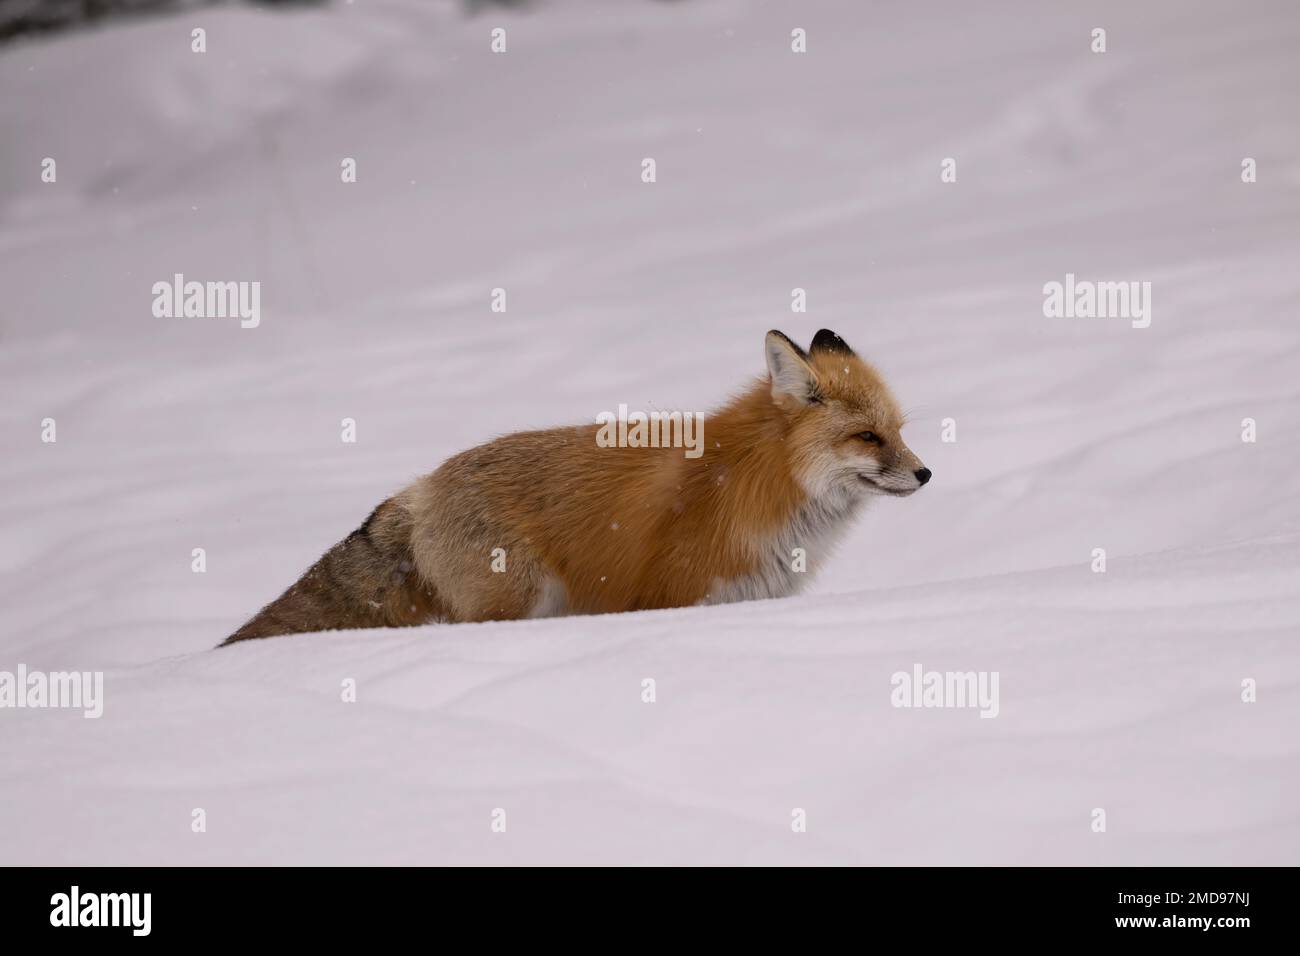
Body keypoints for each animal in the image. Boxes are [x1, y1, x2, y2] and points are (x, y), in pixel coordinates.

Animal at [220, 329, 930, 646]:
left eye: (899, 431)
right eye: (868, 437)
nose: (926, 473)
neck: (758, 482)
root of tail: (423, 486)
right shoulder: (676, 596)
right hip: (519, 601)